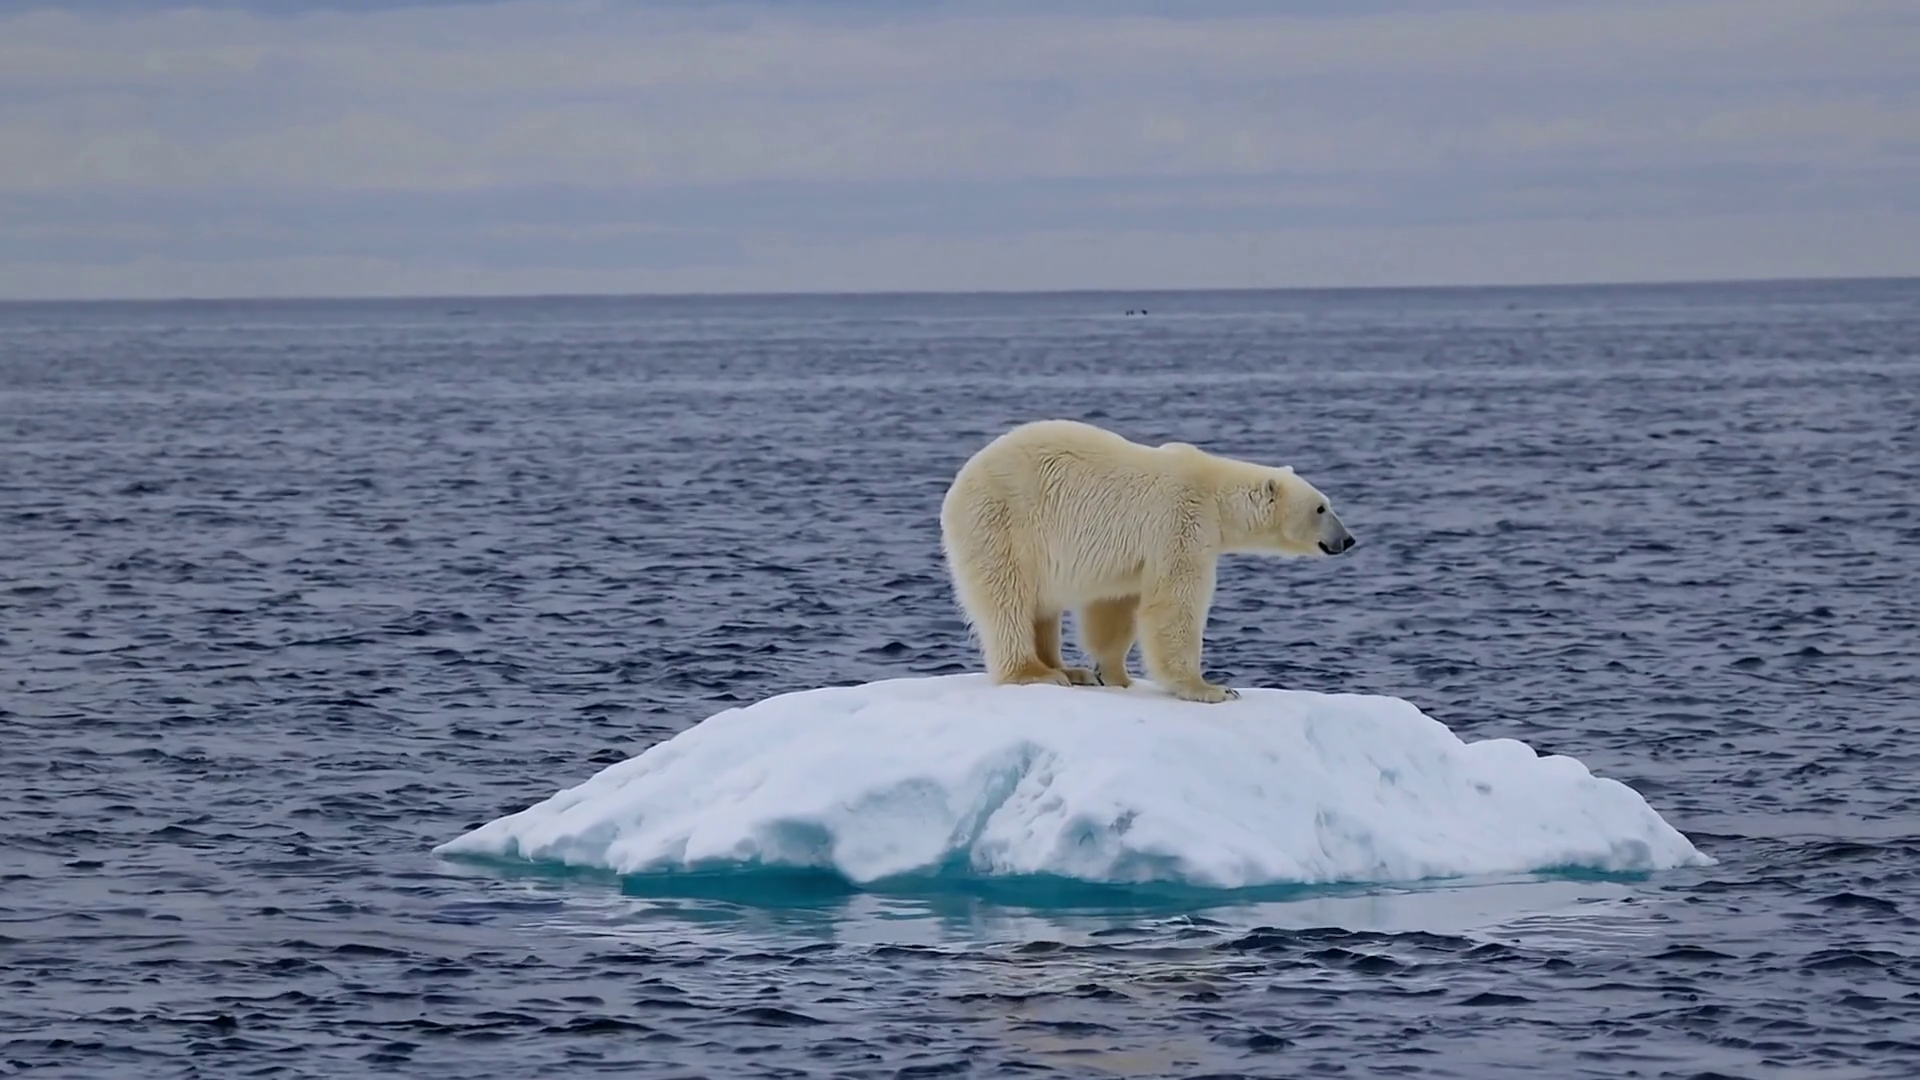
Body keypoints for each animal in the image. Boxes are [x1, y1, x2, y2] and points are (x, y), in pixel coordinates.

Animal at [938, 418, 1356, 704]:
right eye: (1322, 507)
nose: (1348, 539)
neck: (1215, 490)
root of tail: (957, 486)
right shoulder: (1182, 523)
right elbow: (1174, 604)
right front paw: (1212, 688)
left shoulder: (1133, 554)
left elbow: (1114, 607)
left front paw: (1115, 676)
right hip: (1003, 524)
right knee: (1006, 597)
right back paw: (1036, 673)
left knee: (1042, 608)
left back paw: (1070, 670)